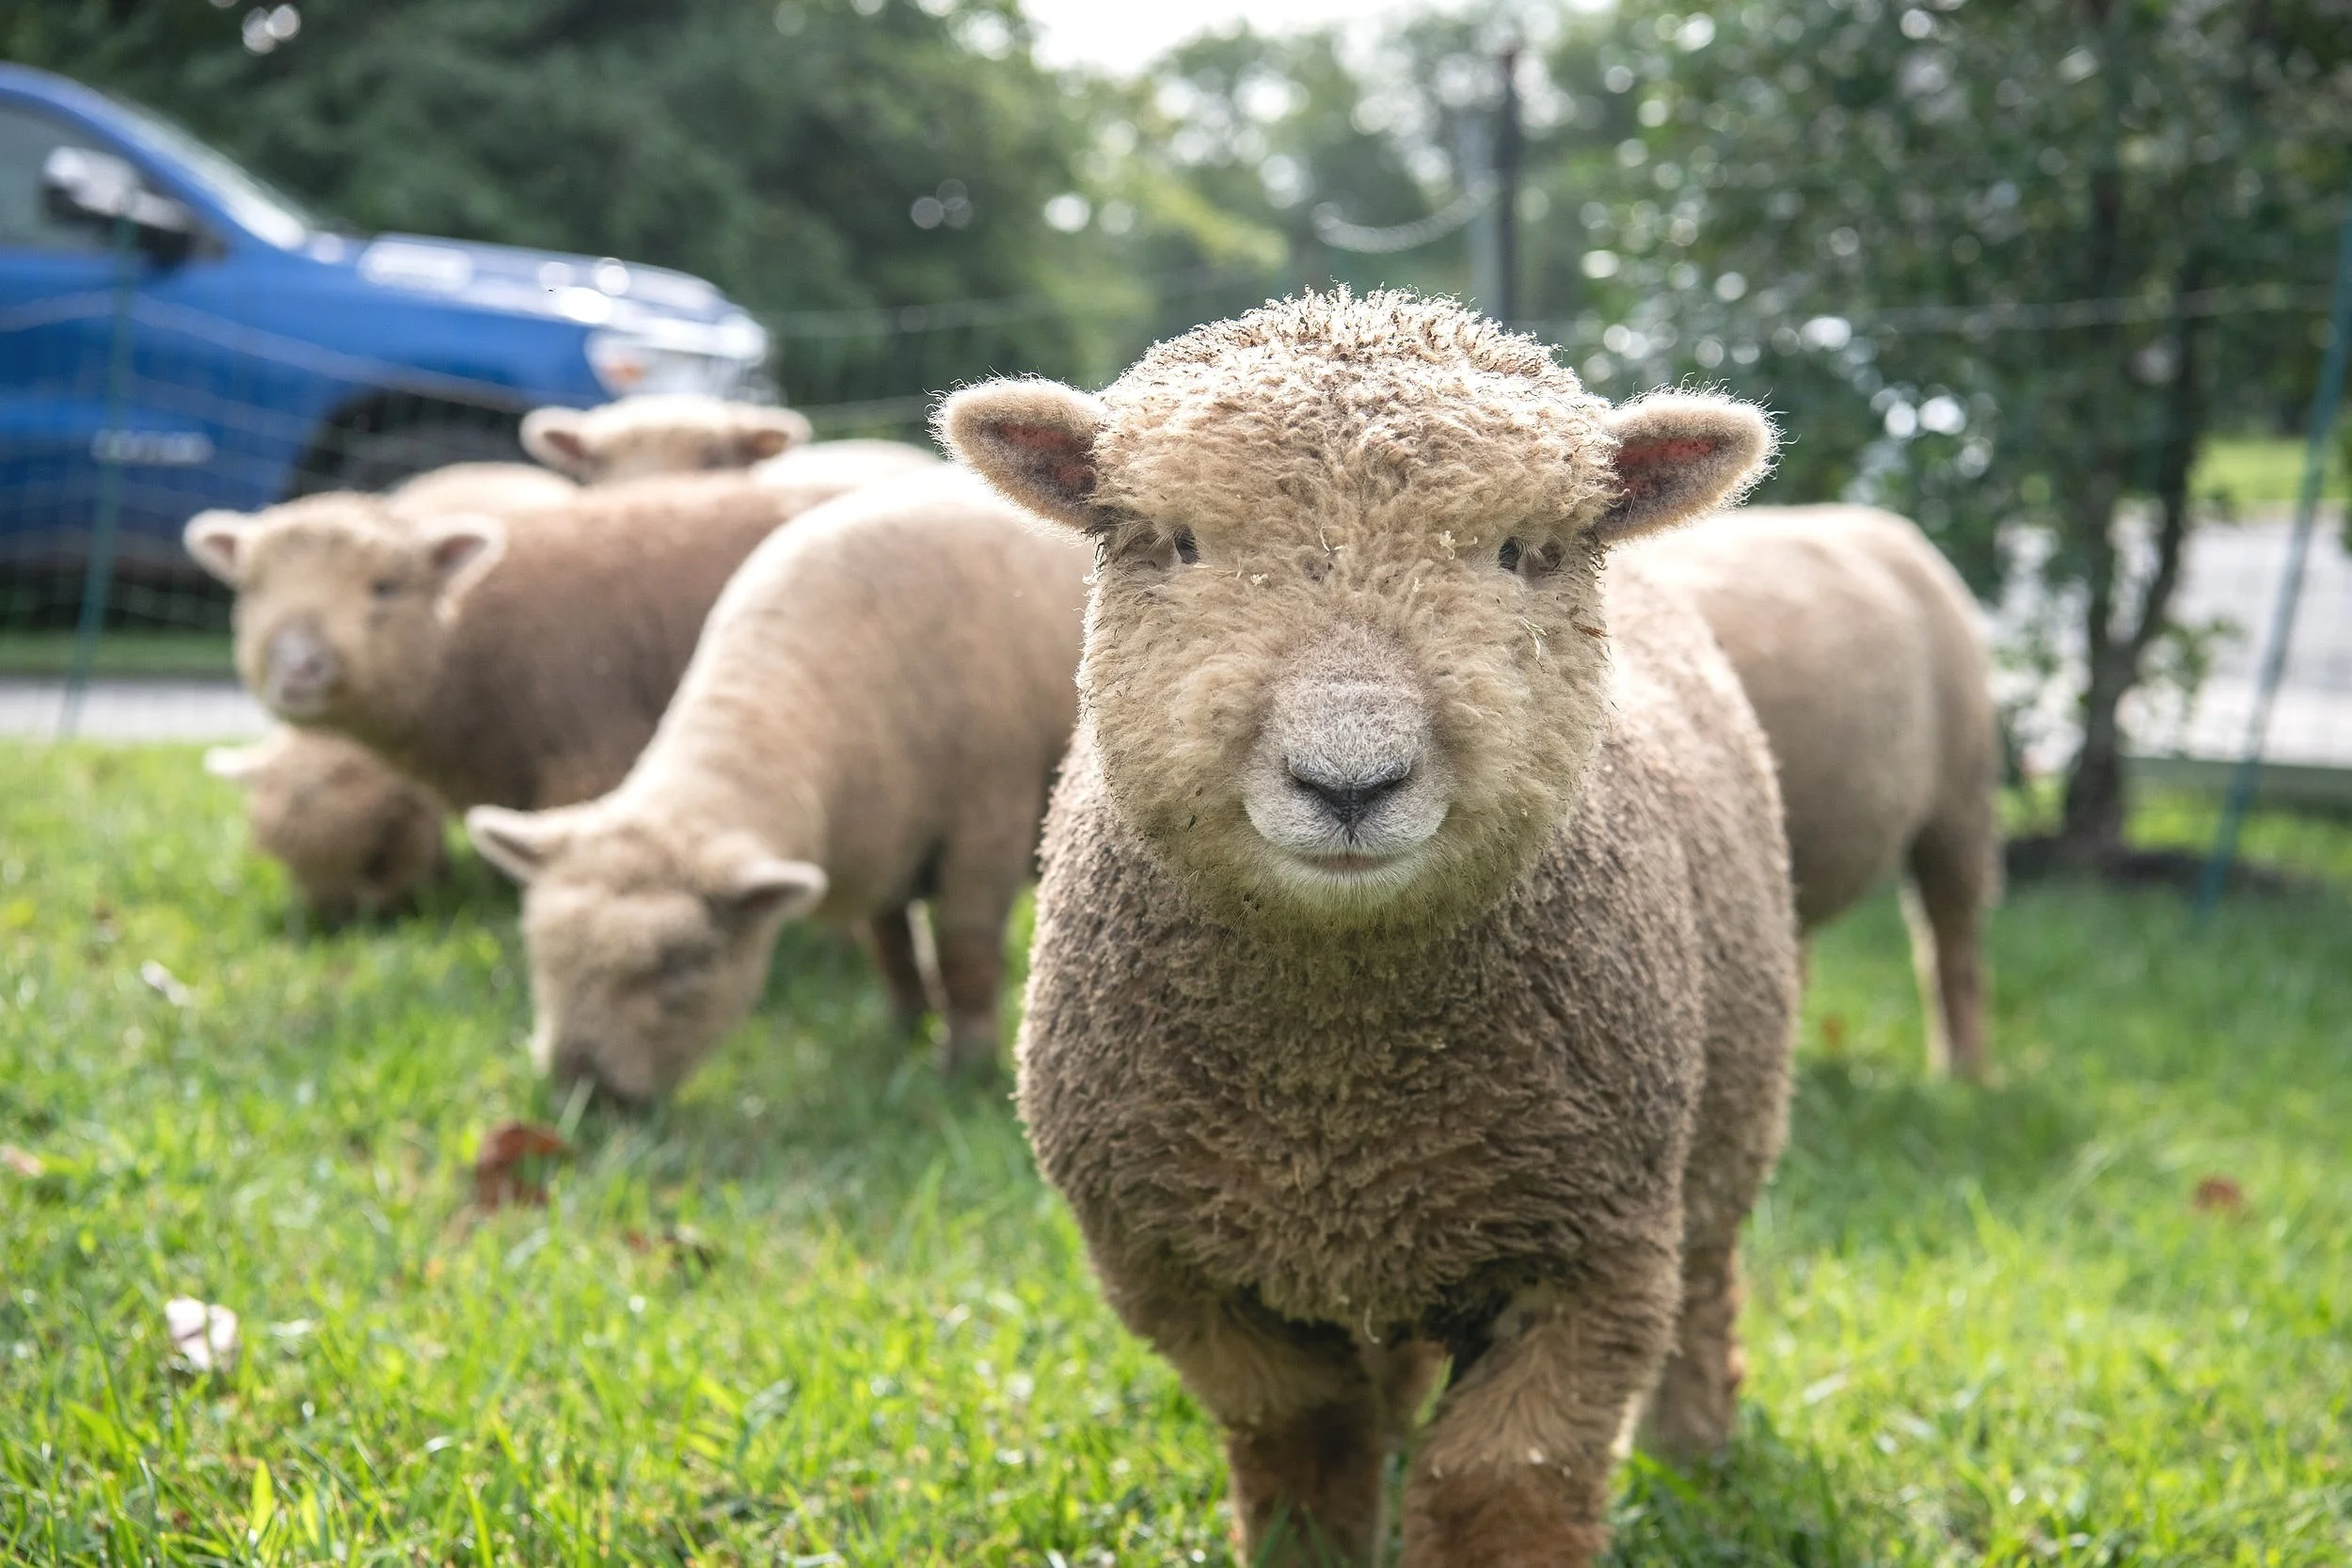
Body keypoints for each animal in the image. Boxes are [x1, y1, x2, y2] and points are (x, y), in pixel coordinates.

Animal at [461, 470, 1090, 1101]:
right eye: (543, 955)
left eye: (680, 965)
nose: (584, 1093)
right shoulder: (888, 840)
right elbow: (893, 949)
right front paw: (904, 1030)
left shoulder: (985, 832)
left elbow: (966, 961)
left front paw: (966, 1069)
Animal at [940, 291, 1799, 1568]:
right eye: (1176, 541)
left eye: (1522, 550)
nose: (1350, 778)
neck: (1336, 1089)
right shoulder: (1174, 1265)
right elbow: (1304, 1435)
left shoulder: (1595, 1255)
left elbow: (1502, 1482)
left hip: (1725, 1121)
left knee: (1707, 1283)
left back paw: (1694, 1451)